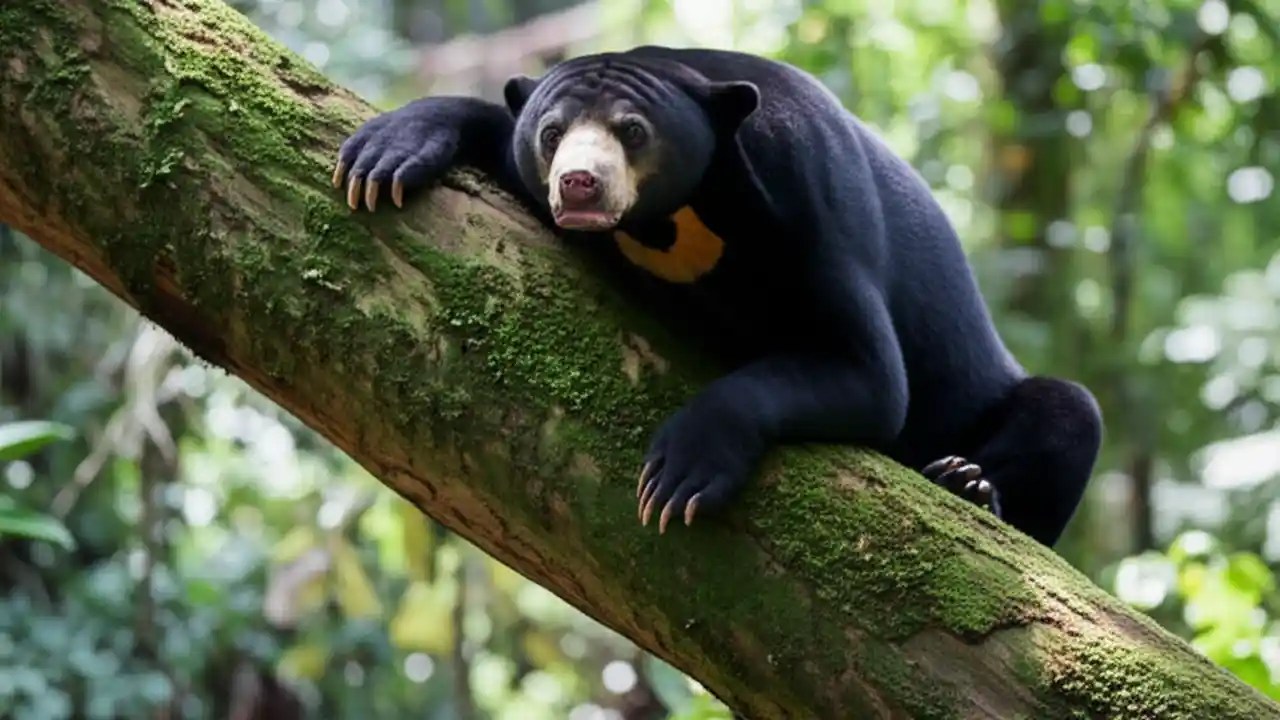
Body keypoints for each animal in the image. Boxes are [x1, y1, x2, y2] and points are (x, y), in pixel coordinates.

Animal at [331, 45, 1104, 548]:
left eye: (633, 131)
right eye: (552, 135)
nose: (579, 185)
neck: (673, 221)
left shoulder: (809, 201)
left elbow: (868, 373)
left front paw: (678, 476)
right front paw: (384, 154)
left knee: (1068, 415)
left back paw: (968, 481)